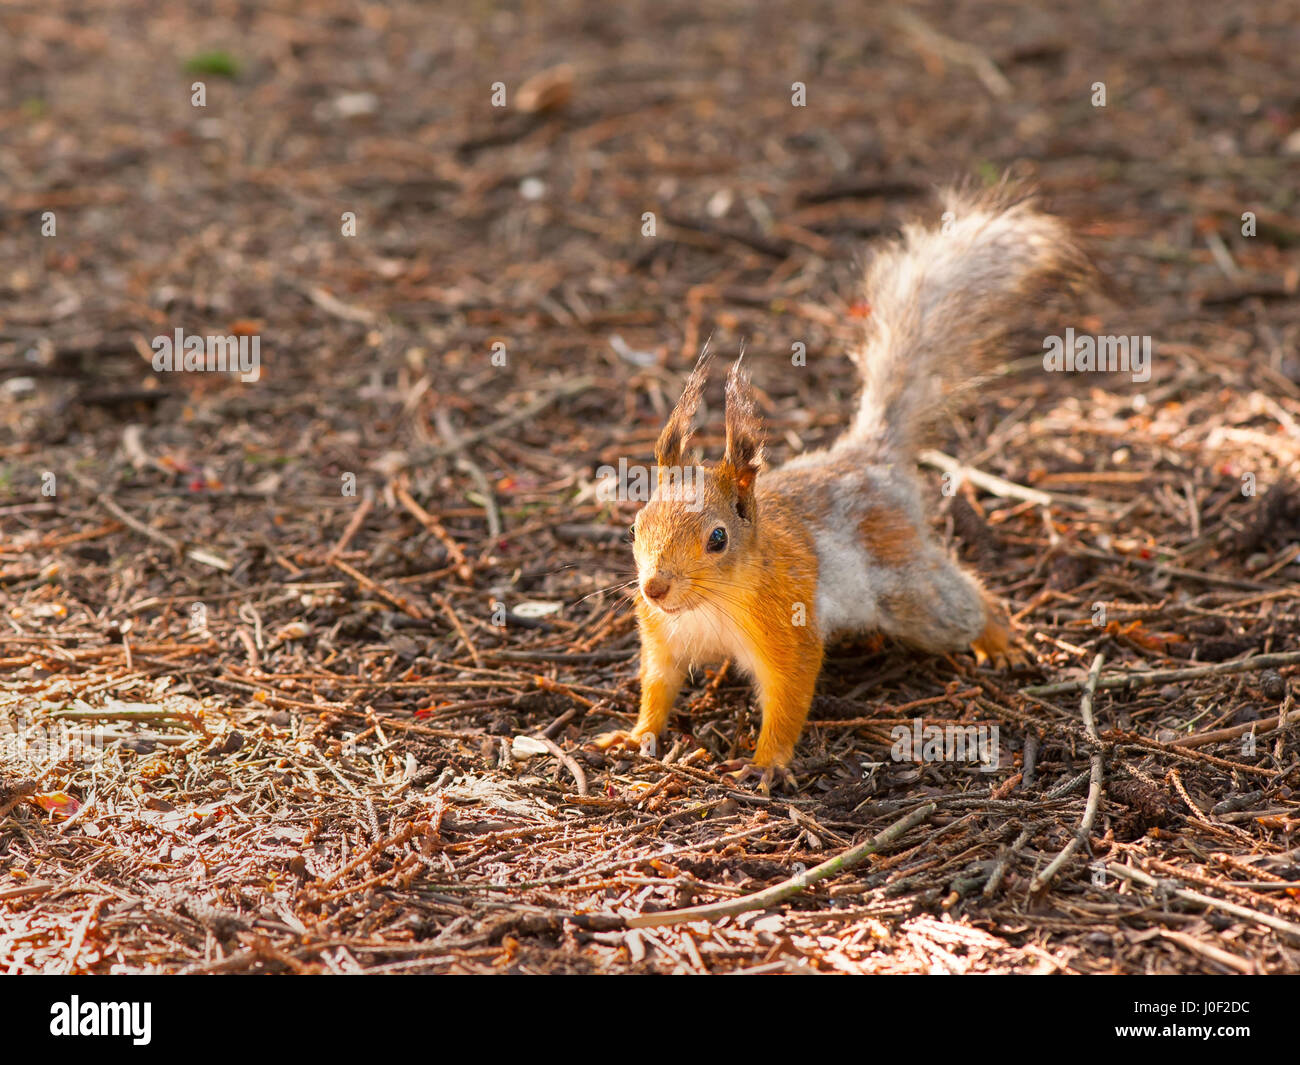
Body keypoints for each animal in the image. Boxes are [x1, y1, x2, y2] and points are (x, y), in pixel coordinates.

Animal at [595, 187, 1088, 789]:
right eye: (635, 526)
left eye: (717, 538)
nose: (654, 588)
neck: (706, 606)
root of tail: (870, 456)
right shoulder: (662, 638)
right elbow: (658, 686)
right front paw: (636, 734)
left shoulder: (788, 627)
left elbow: (789, 695)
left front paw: (767, 762)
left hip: (910, 593)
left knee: (963, 600)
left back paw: (999, 639)